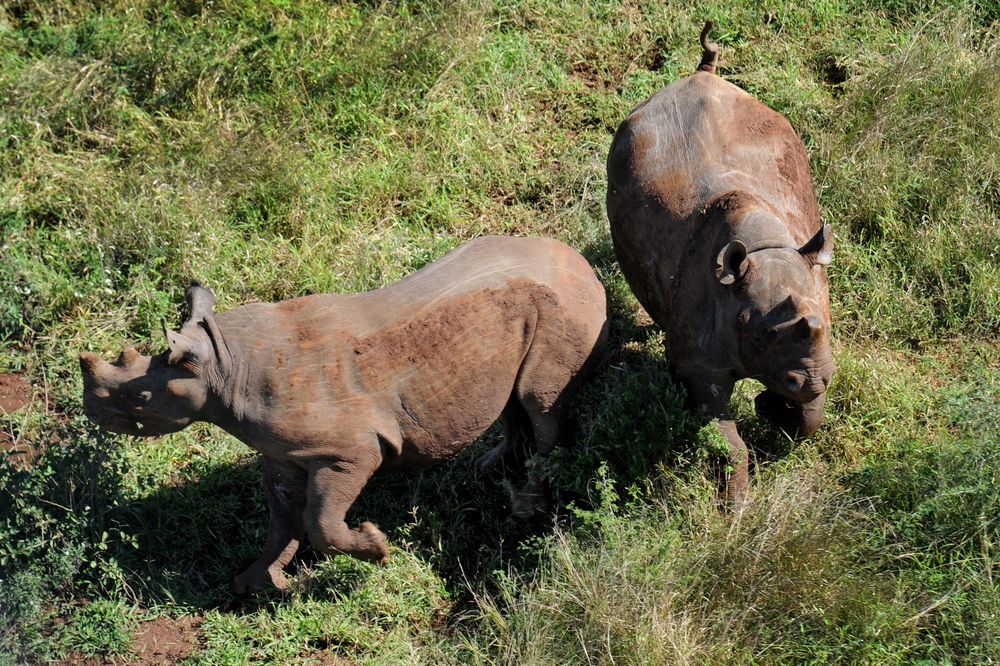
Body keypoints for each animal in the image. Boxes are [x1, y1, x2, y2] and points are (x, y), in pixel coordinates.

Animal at [80, 236, 609, 593]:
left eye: (140, 399)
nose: (91, 410)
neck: (222, 363)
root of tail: (589, 270)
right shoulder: (282, 454)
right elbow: (282, 518)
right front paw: (255, 581)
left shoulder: (345, 453)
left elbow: (320, 521)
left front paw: (376, 548)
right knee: (515, 398)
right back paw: (492, 466)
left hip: (564, 308)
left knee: (540, 401)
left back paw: (526, 506)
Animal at [605, 23, 835, 502]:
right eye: (758, 332)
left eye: (822, 320)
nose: (807, 382)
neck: (765, 250)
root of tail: (702, 74)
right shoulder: (699, 364)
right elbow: (726, 439)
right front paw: (737, 505)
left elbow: (813, 418)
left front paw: (771, 409)